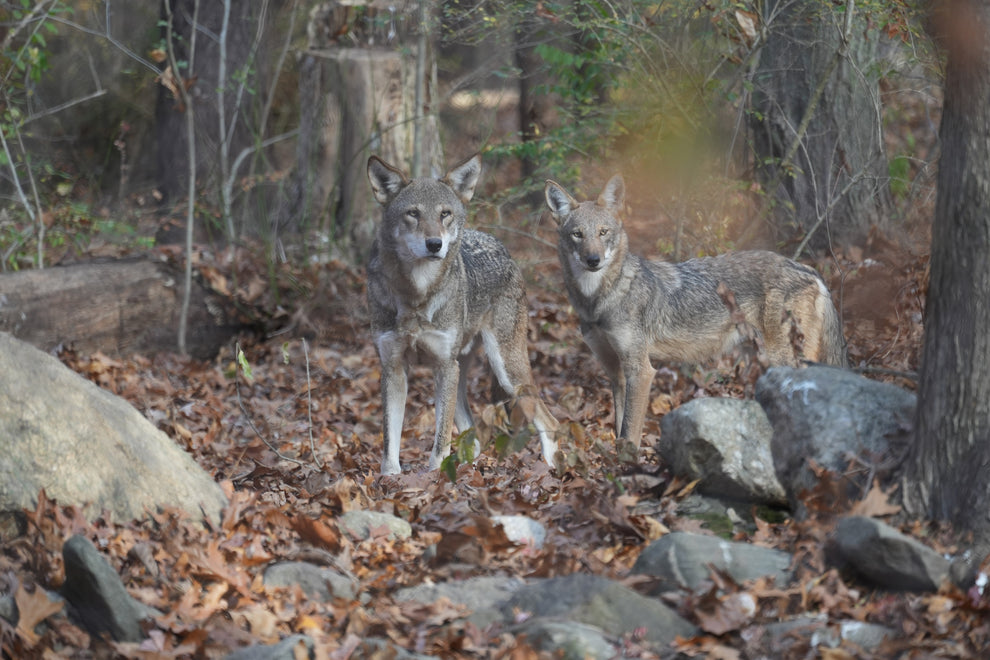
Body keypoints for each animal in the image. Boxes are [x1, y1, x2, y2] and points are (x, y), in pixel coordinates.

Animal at [366, 154, 559, 475]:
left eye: (445, 214)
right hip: (461, 375)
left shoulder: (444, 366)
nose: (435, 244)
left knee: (549, 421)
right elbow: (390, 439)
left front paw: (433, 476)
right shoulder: (393, 368)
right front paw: (391, 478)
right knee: (475, 435)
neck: (416, 295)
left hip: (505, 371)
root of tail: (502, 247)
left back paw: (552, 470)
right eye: (413, 213)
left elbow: (440, 437)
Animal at [544, 174, 847, 448]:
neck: (598, 300)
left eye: (603, 232)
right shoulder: (616, 372)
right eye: (577, 234)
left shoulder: (641, 370)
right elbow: (619, 427)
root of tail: (809, 269)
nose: (593, 260)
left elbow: (629, 432)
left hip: (785, 359)